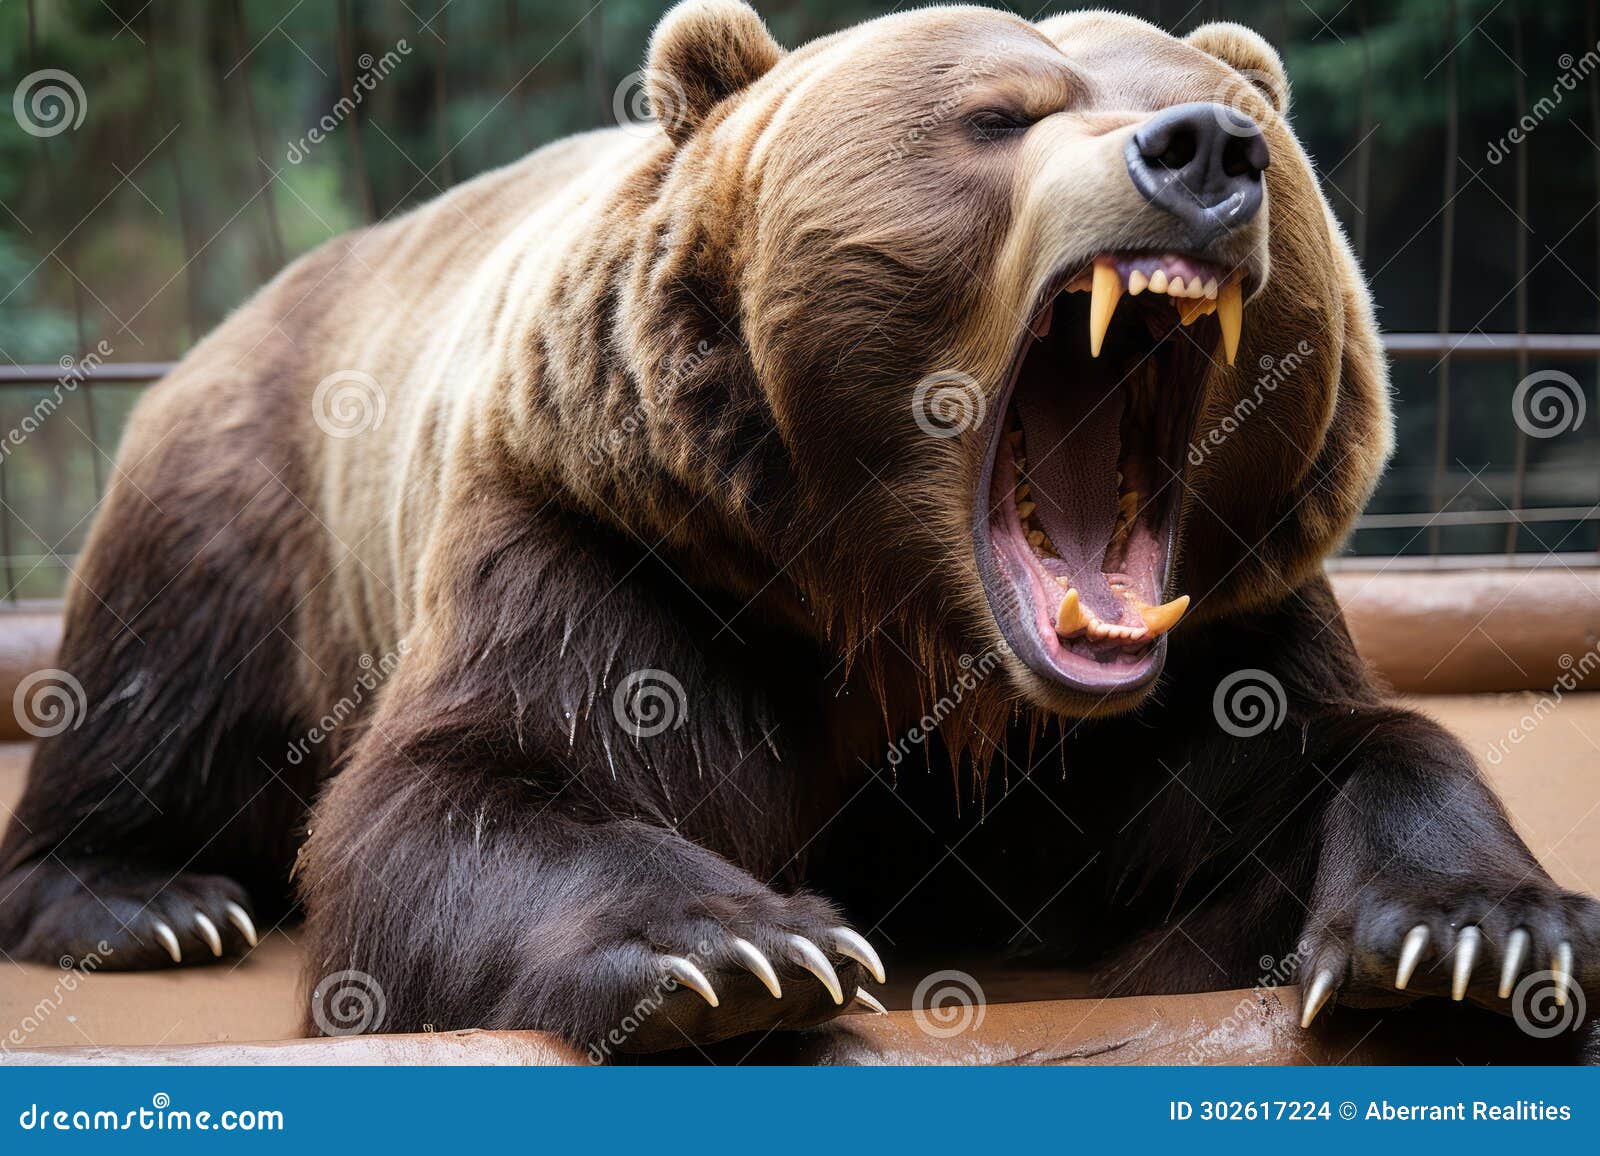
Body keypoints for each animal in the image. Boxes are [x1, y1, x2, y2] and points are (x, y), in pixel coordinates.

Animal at [0, 0, 1595, 1056]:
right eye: (997, 116)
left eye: (1253, 126)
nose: (1202, 147)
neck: (919, 630)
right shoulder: (622, 553)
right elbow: (464, 795)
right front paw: (742, 947)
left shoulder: (1199, 655)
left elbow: (1304, 777)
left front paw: (1469, 934)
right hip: (263, 491)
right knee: (164, 680)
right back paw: (141, 900)